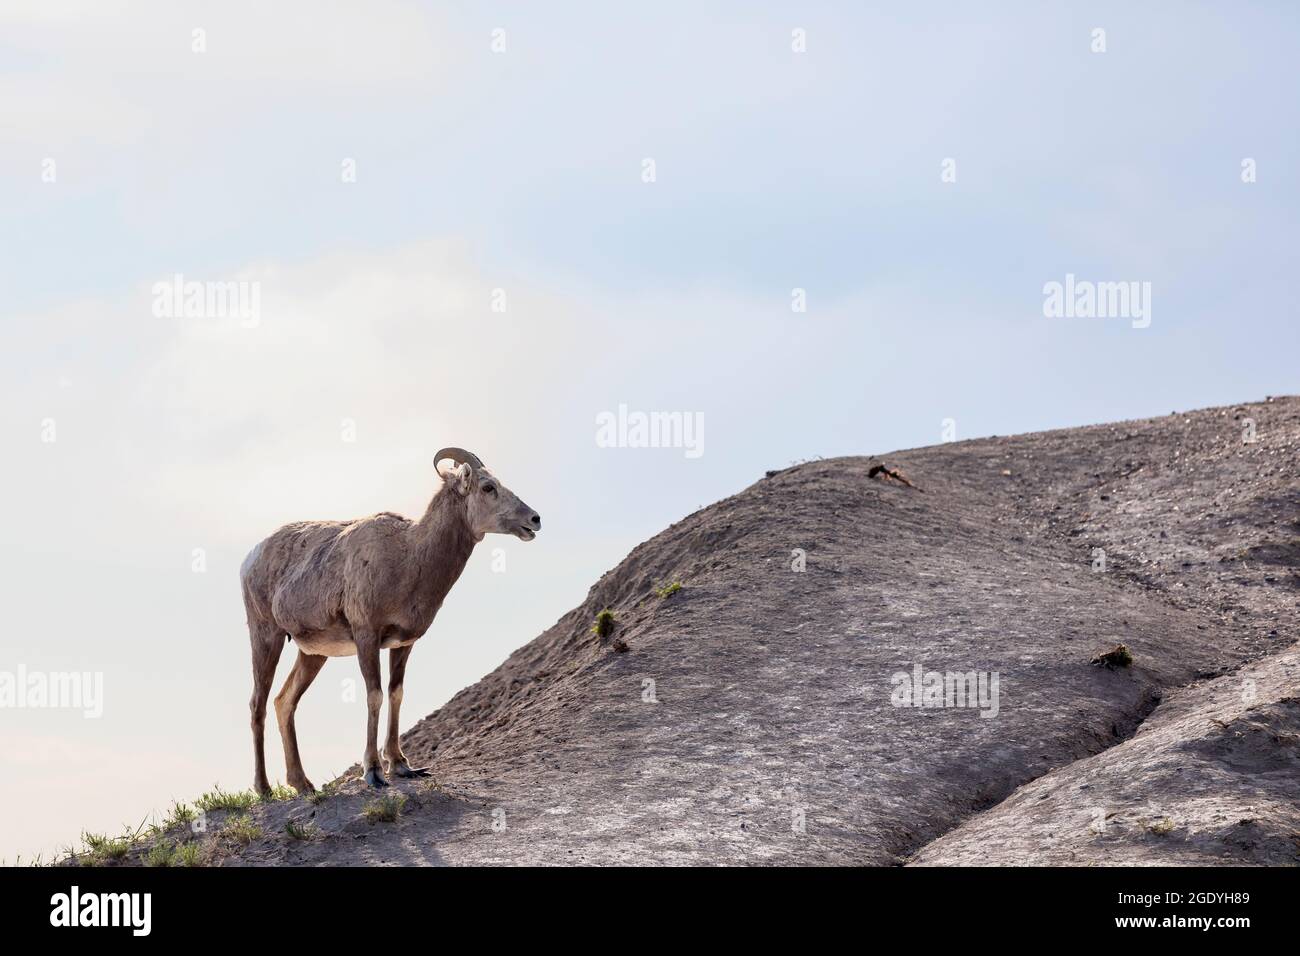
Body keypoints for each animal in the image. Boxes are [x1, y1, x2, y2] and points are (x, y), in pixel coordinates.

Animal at [240, 447, 541, 792]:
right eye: (488, 487)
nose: (535, 519)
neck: (409, 557)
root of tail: (249, 560)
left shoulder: (403, 643)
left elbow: (396, 694)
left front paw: (401, 766)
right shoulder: (366, 637)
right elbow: (375, 695)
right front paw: (373, 772)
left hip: (313, 654)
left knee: (284, 701)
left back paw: (303, 784)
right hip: (267, 637)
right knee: (258, 704)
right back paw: (264, 789)